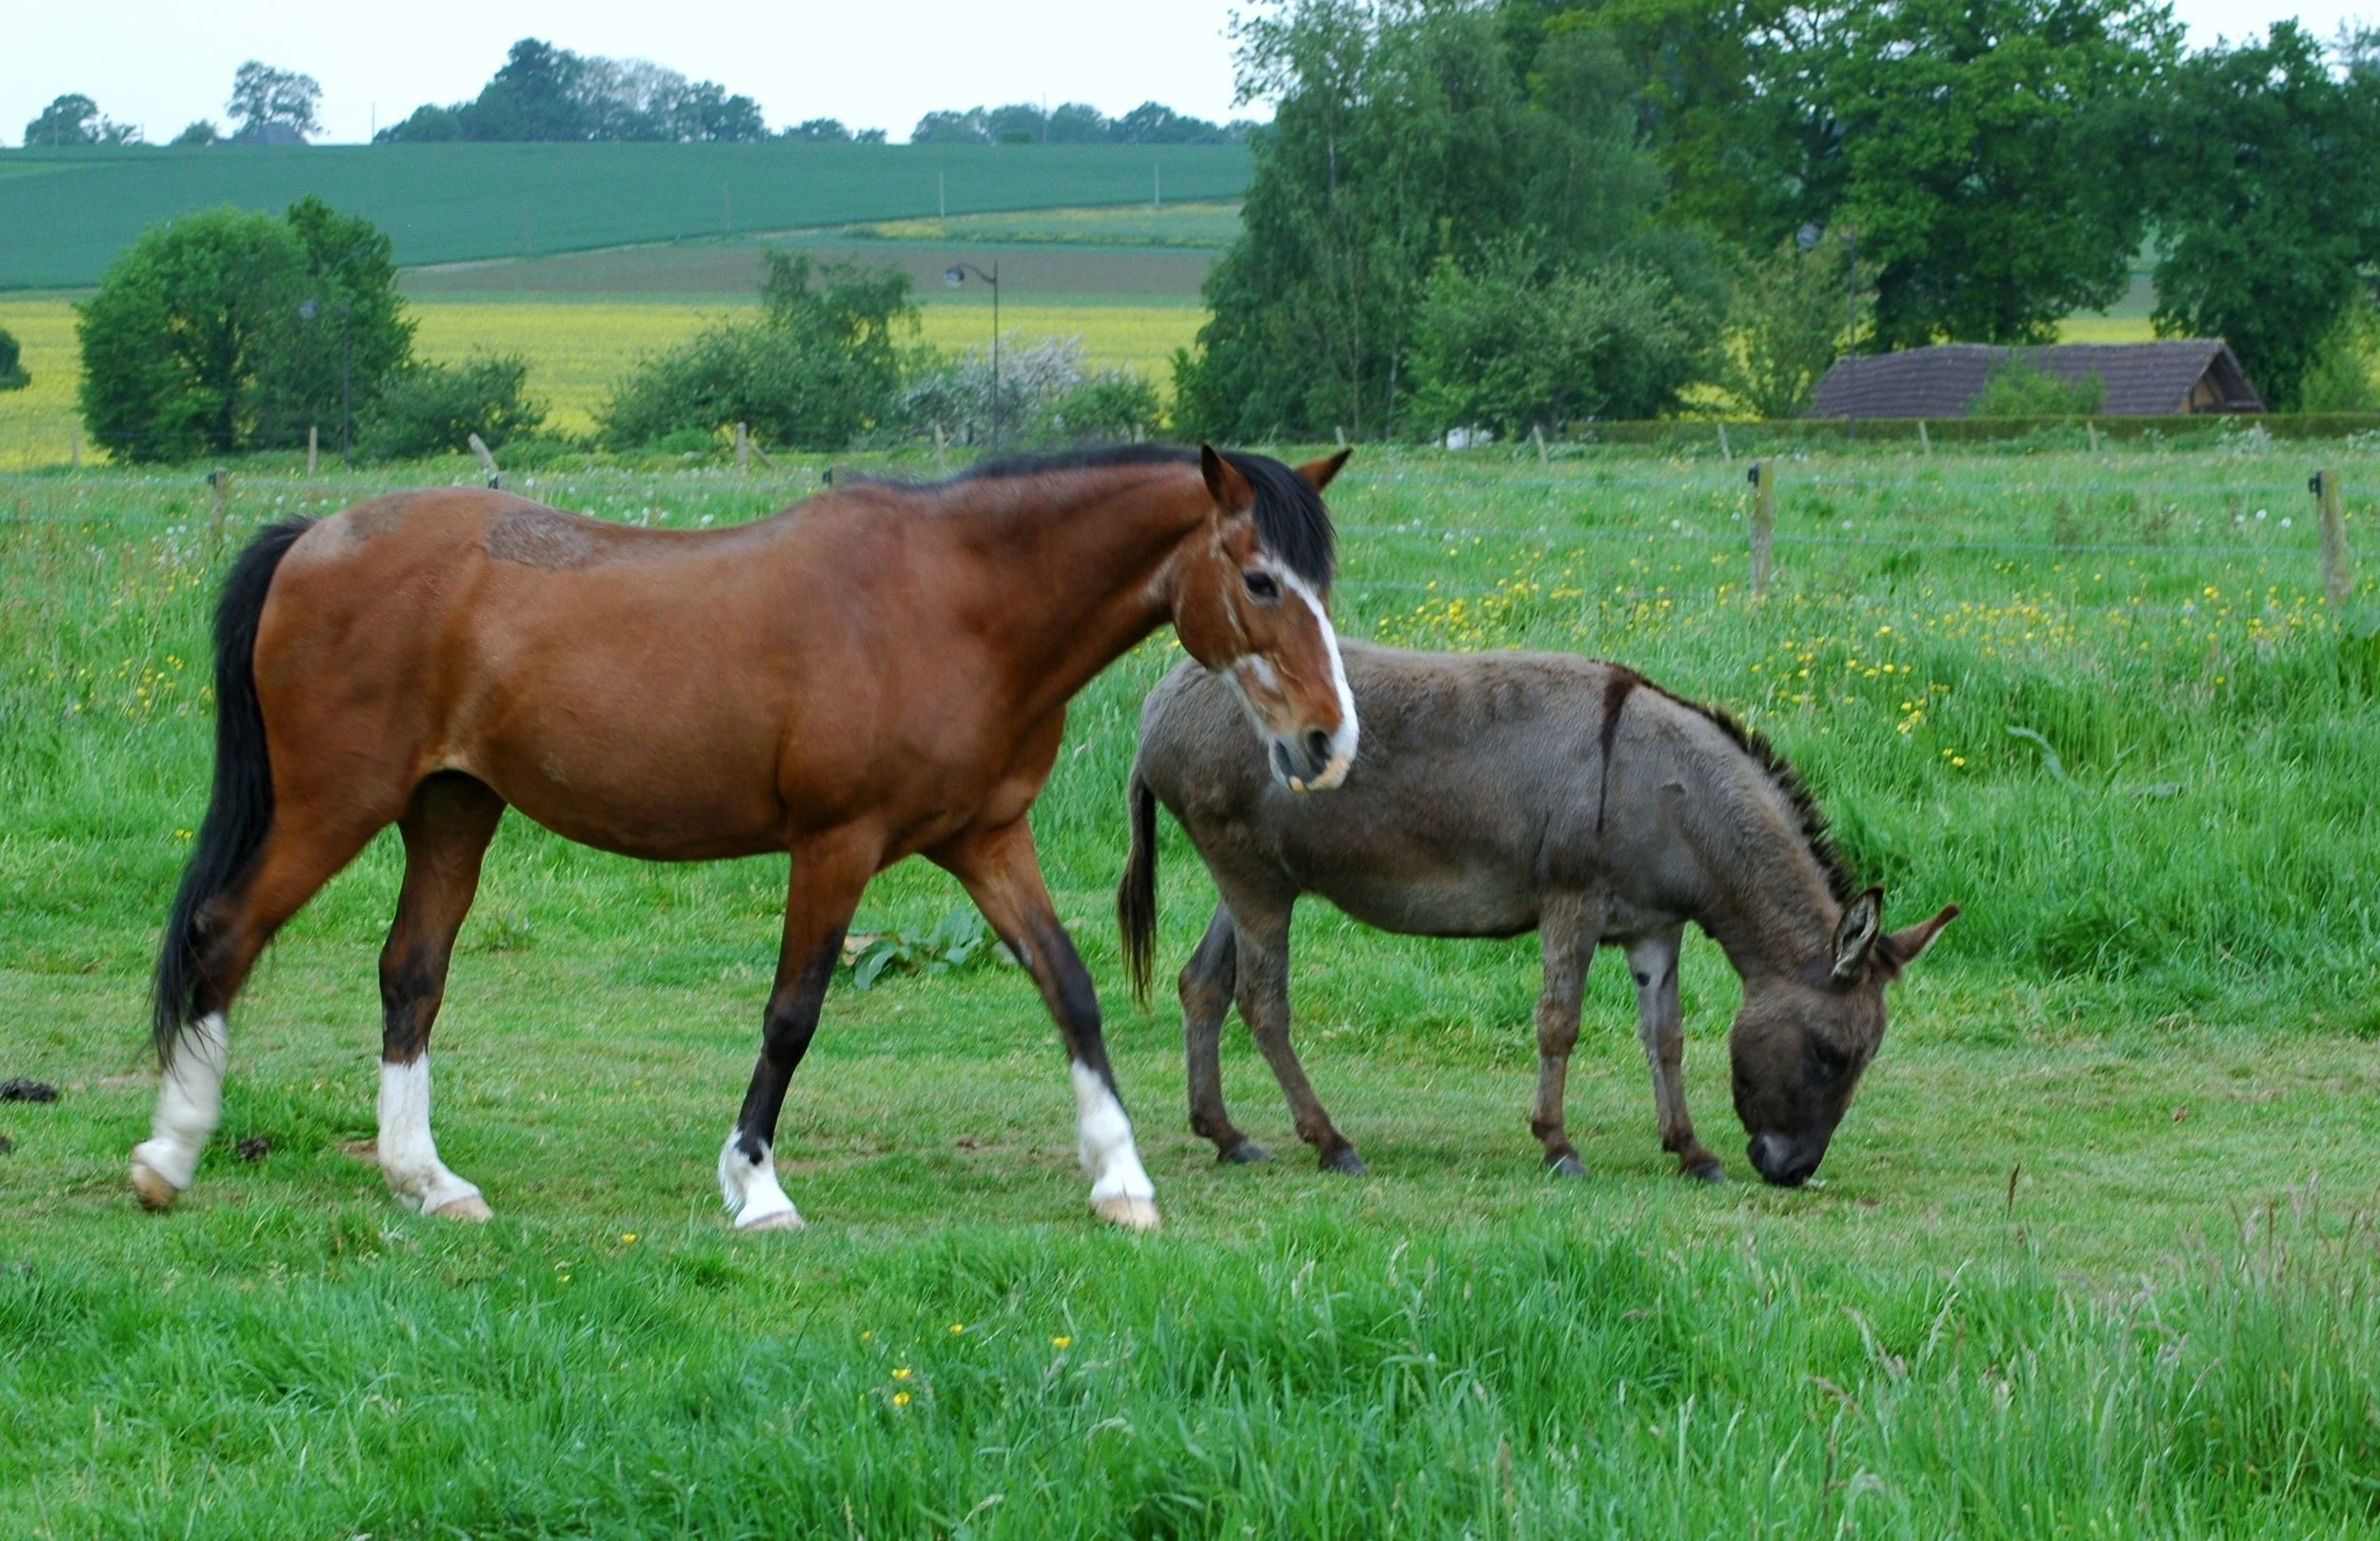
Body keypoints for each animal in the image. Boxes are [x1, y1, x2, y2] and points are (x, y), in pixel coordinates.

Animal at [136, 443, 1360, 1233]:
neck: (954, 603)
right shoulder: (836, 842)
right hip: (334, 803)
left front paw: (1121, 1178)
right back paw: (168, 1155)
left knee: (411, 974)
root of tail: (315, 535)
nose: (1329, 739)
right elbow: (792, 1013)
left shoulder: (984, 839)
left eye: (1321, 579)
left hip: (449, 808)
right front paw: (757, 1184)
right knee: (224, 933)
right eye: (1260, 578)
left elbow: (1070, 988)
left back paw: (426, 1181)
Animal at [1119, 642, 1956, 1187]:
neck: (1670, 791)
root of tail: (1163, 694)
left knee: (1202, 984)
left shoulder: (1654, 926)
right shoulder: (1571, 902)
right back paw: (1330, 1141)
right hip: (1252, 876)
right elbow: (1560, 1022)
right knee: (1262, 1001)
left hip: (1257, 876)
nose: (1793, 1172)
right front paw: (1558, 1145)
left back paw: (1225, 1134)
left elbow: (1666, 1037)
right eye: (1832, 1055)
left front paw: (1689, 1150)